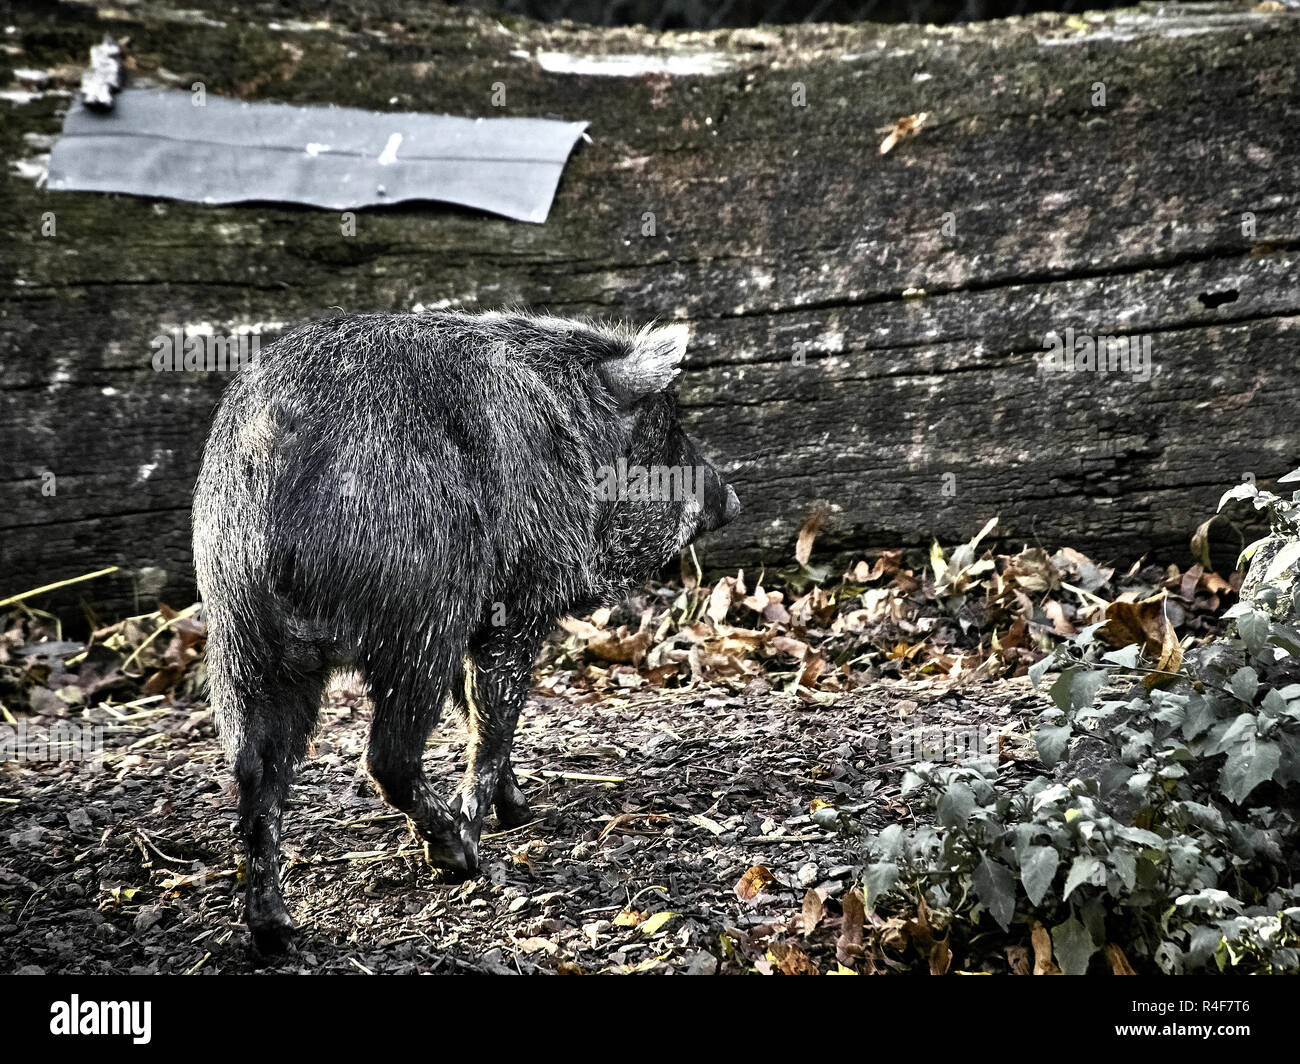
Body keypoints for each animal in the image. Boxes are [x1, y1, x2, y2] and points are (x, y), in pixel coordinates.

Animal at [192, 310, 741, 952]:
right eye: (670, 427)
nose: (732, 500)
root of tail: (272, 444)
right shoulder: (519, 604)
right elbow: (495, 718)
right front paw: (494, 823)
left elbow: (472, 708)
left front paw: (519, 811)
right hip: (415, 621)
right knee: (387, 755)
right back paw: (456, 854)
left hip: (243, 638)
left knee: (254, 770)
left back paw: (276, 931)